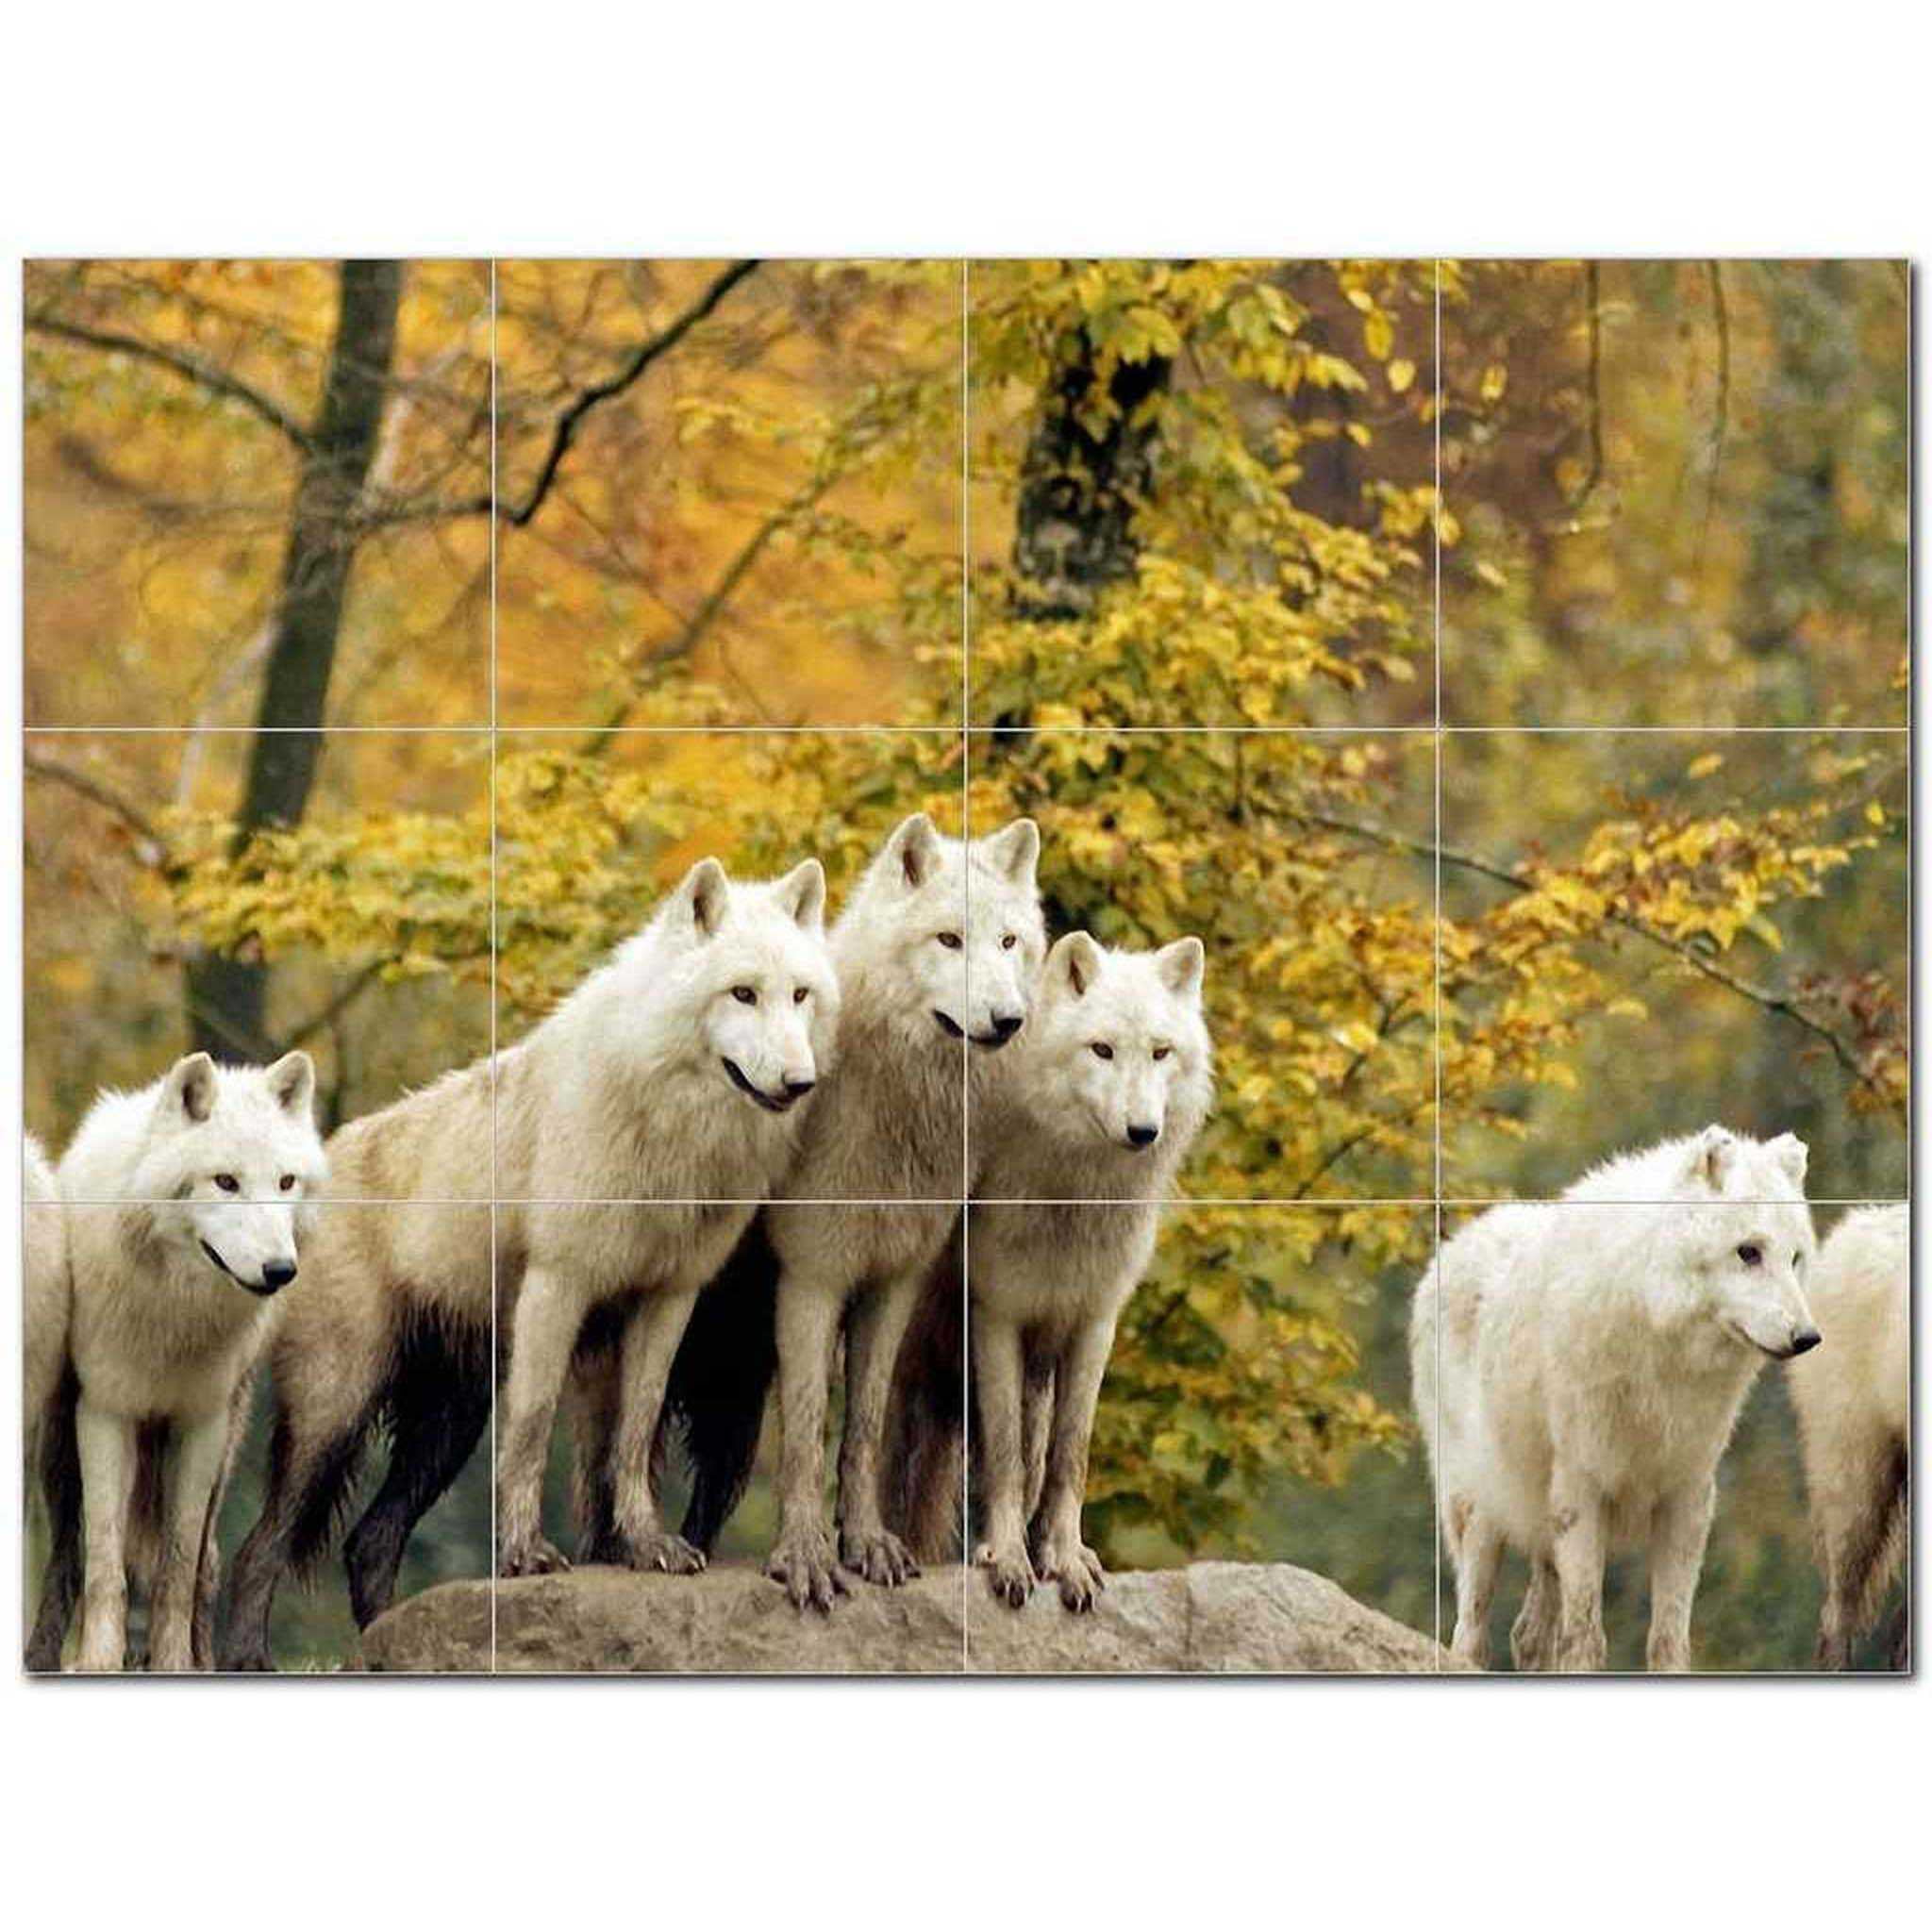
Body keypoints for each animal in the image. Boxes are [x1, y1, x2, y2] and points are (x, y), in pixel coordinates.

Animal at [55, 1051, 325, 1671]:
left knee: (206, 1566)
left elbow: (177, 1568)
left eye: (285, 1182)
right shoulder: (105, 1412)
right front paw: (99, 1662)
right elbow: (105, 1562)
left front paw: (175, 1663)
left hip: (227, 1446)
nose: (280, 1271)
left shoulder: (203, 1424)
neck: (175, 1311)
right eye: (225, 1182)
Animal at [220, 856, 834, 1667]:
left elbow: (633, 1433)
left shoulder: (669, 1297)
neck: (671, 1131)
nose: (800, 1082)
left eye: (799, 995)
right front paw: (523, 1555)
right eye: (742, 992)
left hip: (447, 1425)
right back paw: (248, 1659)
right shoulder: (557, 1287)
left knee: (368, 1544)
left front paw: (646, 1544)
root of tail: (300, 1176)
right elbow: (536, 1426)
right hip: (336, 1412)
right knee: (258, 1548)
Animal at [963, 931, 1212, 1610]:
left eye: (1160, 1051)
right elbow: (1007, 1455)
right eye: (1101, 1049)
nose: (1143, 1131)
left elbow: (1068, 1456)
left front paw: (1065, 1558)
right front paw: (1007, 1558)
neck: (1076, 1198)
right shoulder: (998, 1313)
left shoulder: (1095, 1321)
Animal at [1412, 1126, 1819, 1673]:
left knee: (1528, 1635)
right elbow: (1586, 1636)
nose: (1807, 1338)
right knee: (1470, 1633)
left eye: (1795, 1259)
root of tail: (1456, 1244)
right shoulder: (1582, 1490)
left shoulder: (1687, 1496)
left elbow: (1668, 1639)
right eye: (1748, 1252)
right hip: (1480, 1509)